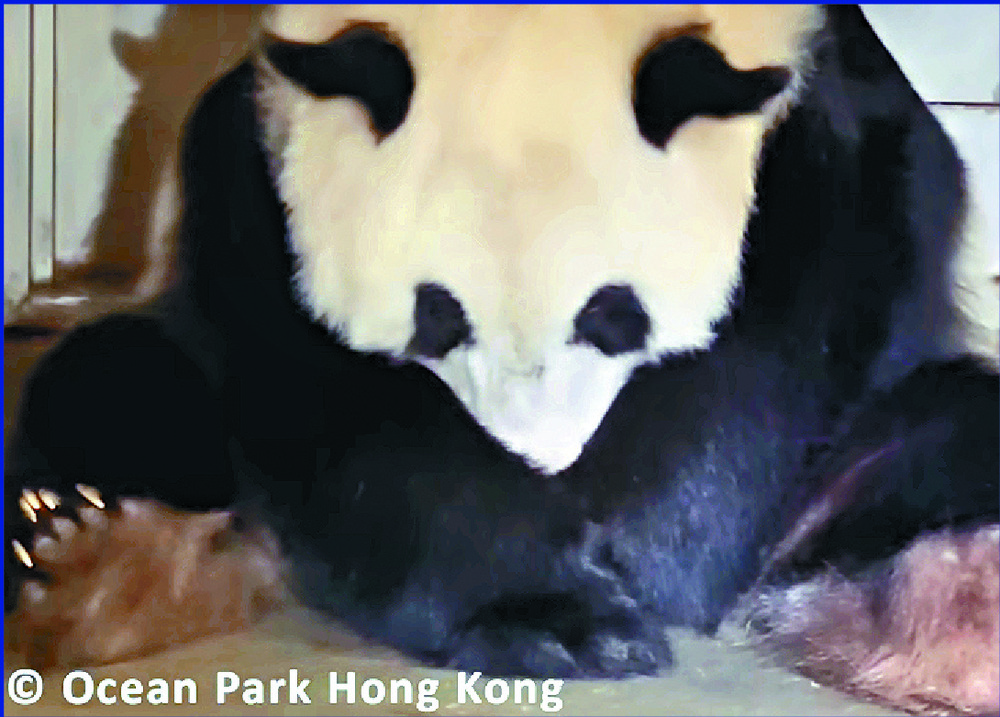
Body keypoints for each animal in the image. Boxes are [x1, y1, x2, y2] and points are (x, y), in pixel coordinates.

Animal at [5, 5, 998, 714]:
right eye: (434, 320)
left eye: (614, 317)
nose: (542, 457)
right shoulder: (257, 164)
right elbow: (334, 400)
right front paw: (560, 619)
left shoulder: (829, 144)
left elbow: (775, 359)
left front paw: (653, 567)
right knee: (121, 389)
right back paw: (81, 555)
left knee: (940, 441)